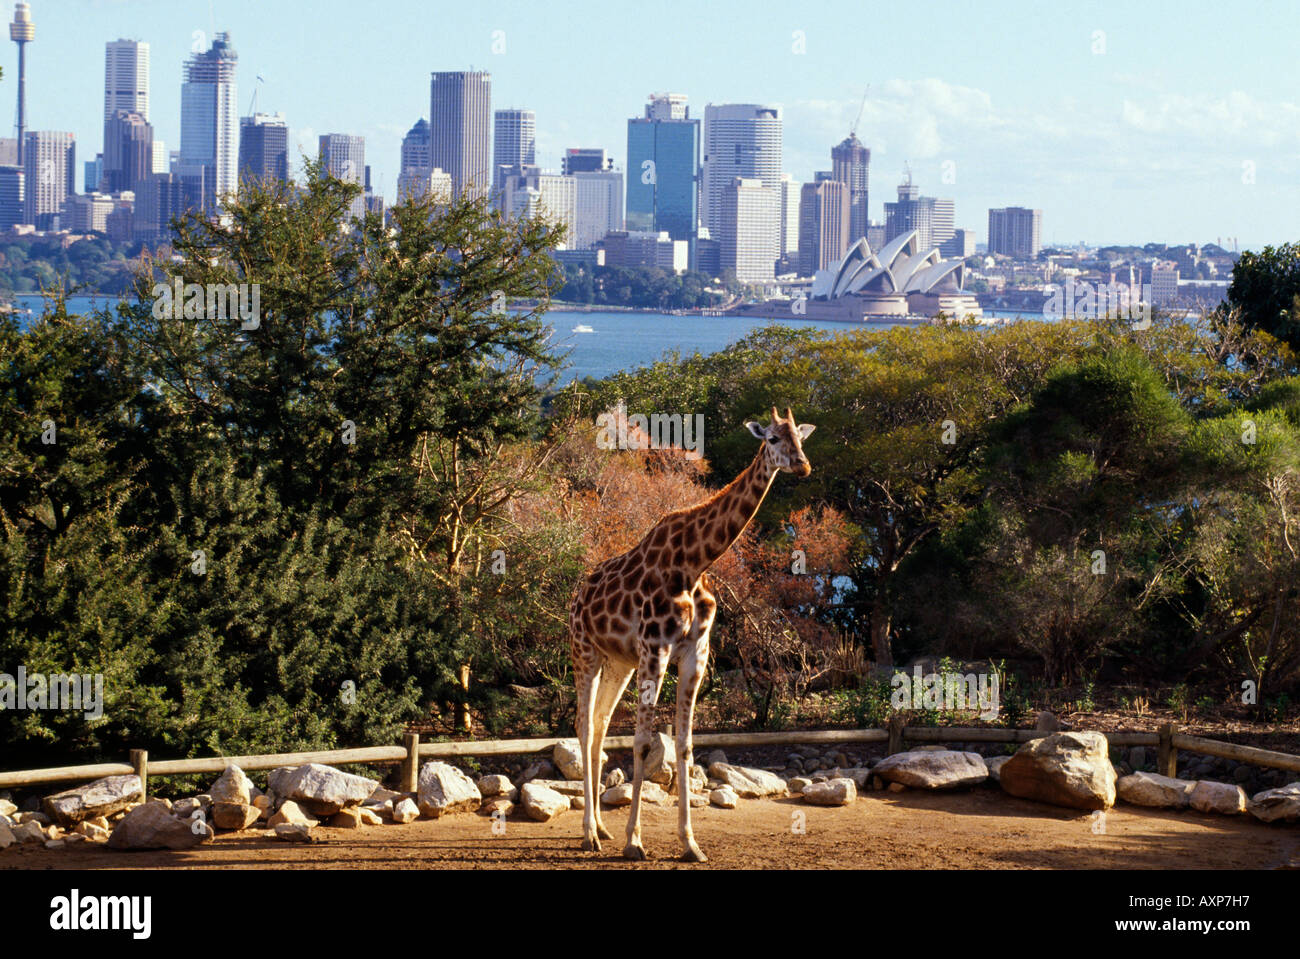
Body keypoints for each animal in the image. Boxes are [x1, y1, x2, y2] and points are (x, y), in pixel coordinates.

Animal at [569, 406, 816, 861]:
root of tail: (576, 597)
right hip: (585, 651)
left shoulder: (694, 653)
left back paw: (600, 829)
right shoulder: (655, 649)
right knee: (582, 723)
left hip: (619, 661)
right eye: (773, 438)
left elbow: (684, 746)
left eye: (800, 437)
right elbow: (643, 743)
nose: (802, 465)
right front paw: (635, 842)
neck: (695, 562)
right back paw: (589, 834)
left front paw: (690, 843)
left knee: (599, 723)